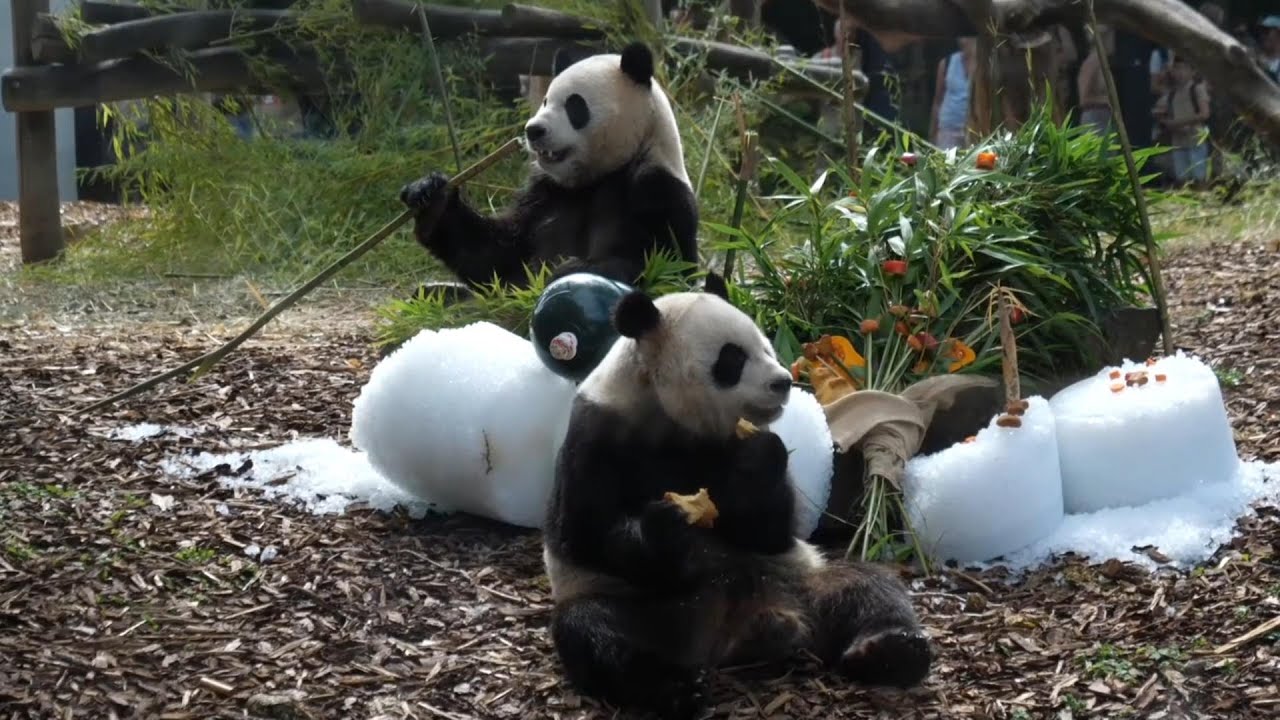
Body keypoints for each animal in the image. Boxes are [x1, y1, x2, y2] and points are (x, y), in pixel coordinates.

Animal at [398, 41, 698, 295]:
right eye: (545, 100)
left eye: (575, 105)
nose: (533, 130)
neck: (597, 177)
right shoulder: (545, 193)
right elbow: (495, 258)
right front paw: (432, 199)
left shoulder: (657, 190)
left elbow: (667, 268)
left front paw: (569, 270)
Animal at [541, 273, 932, 719]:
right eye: (732, 359)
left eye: (766, 346)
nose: (782, 382)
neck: (663, 410)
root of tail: (738, 629)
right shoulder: (596, 435)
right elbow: (583, 533)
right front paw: (664, 528)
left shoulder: (724, 445)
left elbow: (768, 529)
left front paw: (761, 455)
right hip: (643, 607)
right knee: (596, 634)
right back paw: (677, 689)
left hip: (798, 577)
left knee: (868, 586)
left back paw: (891, 649)